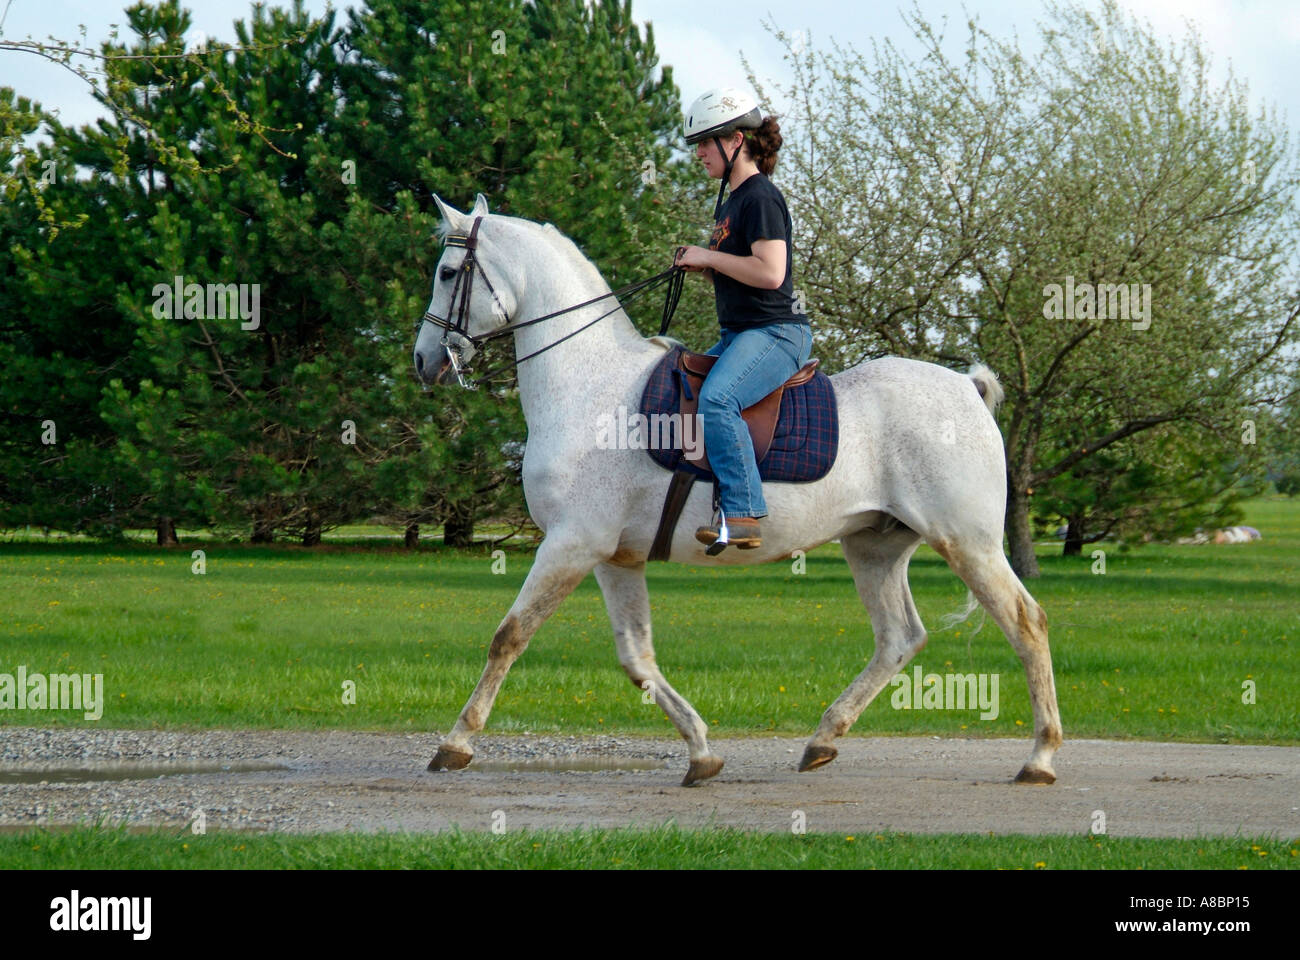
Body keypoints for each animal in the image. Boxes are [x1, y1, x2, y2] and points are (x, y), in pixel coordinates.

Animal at [412, 194, 1063, 787]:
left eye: (446, 273)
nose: (423, 360)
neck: (587, 384)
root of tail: (966, 387)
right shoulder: (613, 557)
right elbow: (636, 659)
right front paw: (701, 752)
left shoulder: (571, 545)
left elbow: (509, 637)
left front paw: (455, 744)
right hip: (875, 547)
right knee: (899, 639)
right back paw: (822, 740)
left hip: (967, 542)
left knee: (1026, 621)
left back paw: (1040, 757)